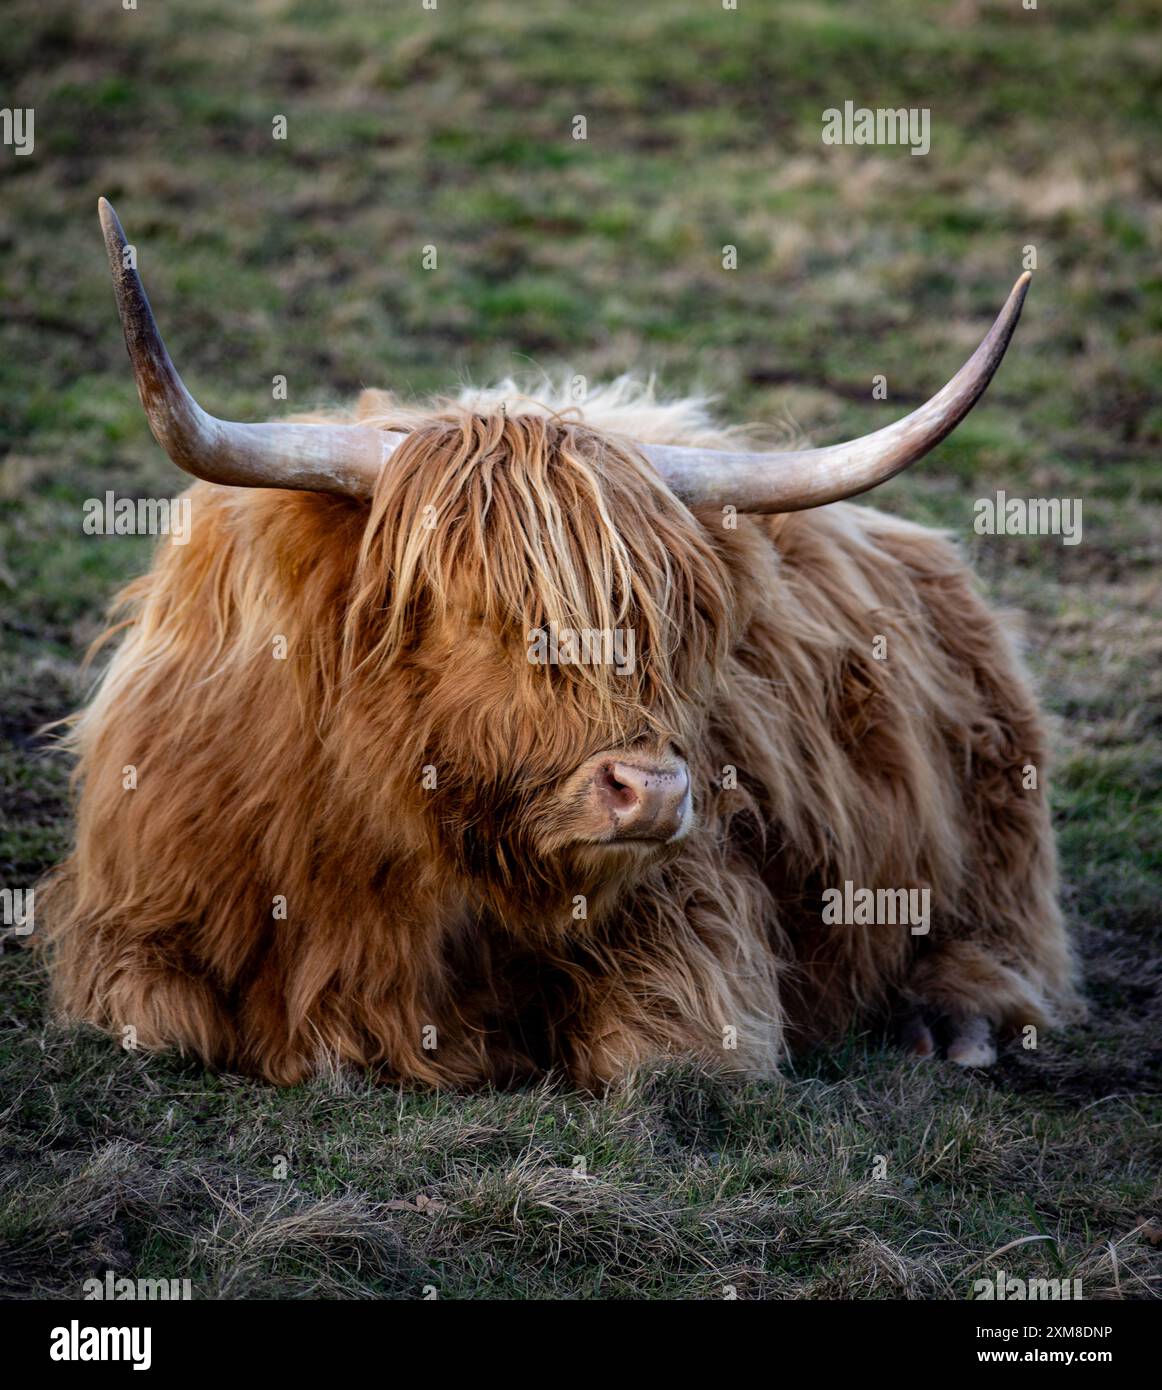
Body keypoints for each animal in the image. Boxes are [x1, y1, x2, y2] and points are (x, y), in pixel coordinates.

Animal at [40, 199, 1080, 1088]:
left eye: (665, 626)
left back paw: (952, 1019)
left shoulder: (692, 920)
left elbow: (654, 1055)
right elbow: (160, 1023)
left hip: (999, 804)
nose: (650, 791)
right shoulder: (135, 919)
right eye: (473, 610)